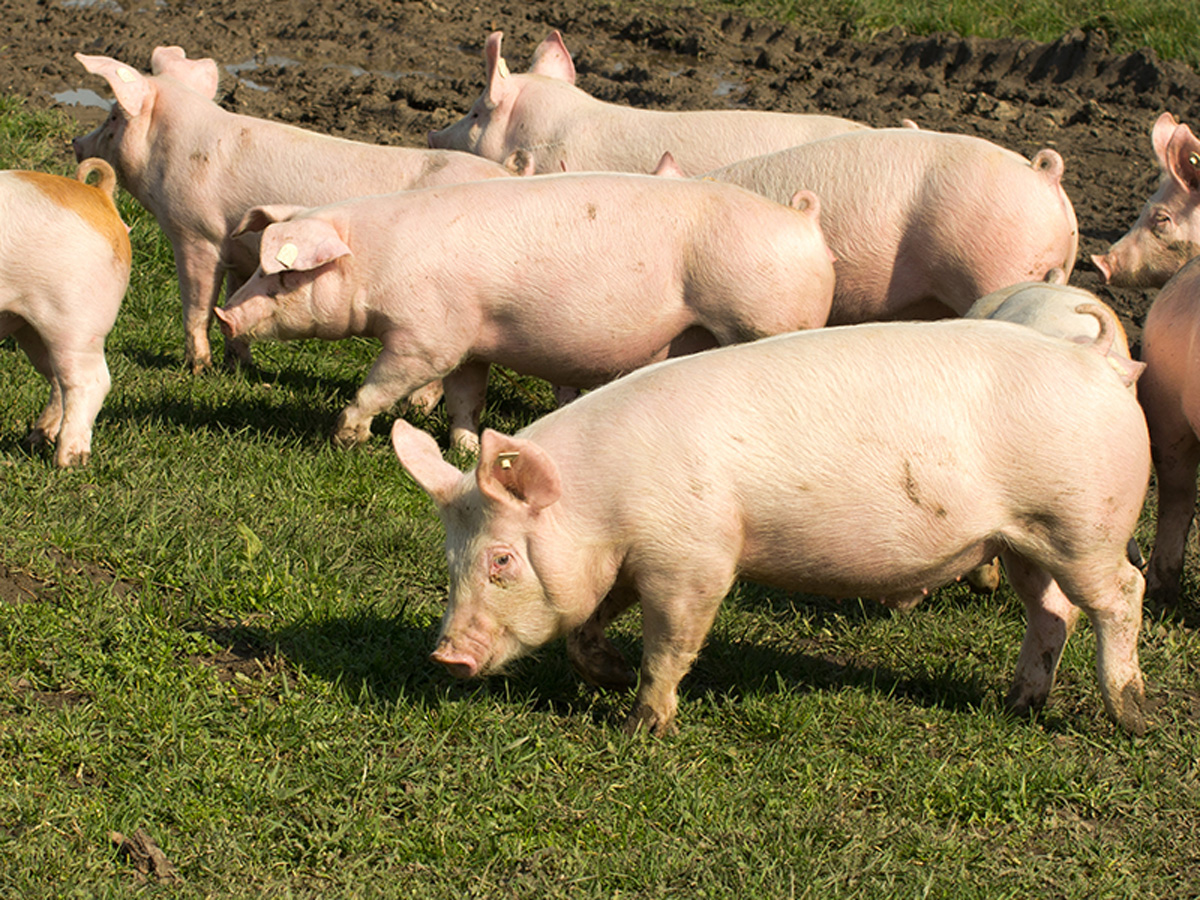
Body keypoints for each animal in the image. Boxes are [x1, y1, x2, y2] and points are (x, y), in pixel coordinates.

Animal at [0, 158, 130, 466]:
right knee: (57, 379)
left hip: (75, 319)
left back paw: (69, 459)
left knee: (91, 380)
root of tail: (98, 194)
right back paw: (36, 440)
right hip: (28, 324)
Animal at [72, 46, 511, 374]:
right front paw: (238, 365)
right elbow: (232, 298)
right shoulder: (240, 248)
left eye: (113, 116)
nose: (76, 142)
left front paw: (199, 368)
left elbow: (197, 304)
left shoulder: (196, 235)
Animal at [215, 172, 835, 450]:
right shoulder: (470, 339)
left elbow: (386, 380)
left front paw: (347, 436)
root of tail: (803, 220)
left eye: (284, 274)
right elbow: (467, 395)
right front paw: (465, 447)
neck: (376, 262)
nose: (226, 316)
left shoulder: (427, 335)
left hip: (761, 318)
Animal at [392, 316, 1150, 736]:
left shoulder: (694, 560)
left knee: (1122, 594)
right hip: (1021, 538)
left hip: (1084, 525)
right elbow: (586, 626)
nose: (445, 657)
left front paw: (639, 728)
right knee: (1051, 612)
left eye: (501, 560)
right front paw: (606, 675)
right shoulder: (632, 560)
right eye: (450, 560)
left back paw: (1131, 718)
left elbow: (671, 644)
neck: (603, 501)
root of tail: (1103, 366)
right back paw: (1019, 704)